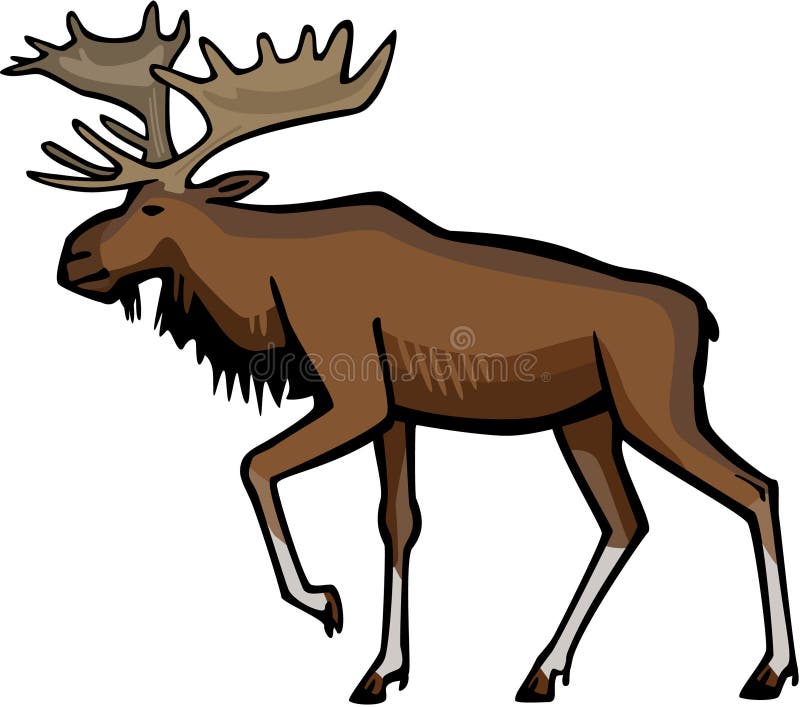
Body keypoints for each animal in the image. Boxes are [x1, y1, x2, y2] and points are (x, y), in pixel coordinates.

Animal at [3, 4, 796, 703]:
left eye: (152, 206)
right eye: (124, 198)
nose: (72, 257)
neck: (262, 289)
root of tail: (704, 316)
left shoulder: (356, 392)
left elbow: (254, 465)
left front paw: (325, 601)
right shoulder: (396, 412)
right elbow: (399, 521)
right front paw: (383, 669)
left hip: (656, 408)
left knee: (754, 486)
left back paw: (767, 670)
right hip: (587, 421)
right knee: (626, 521)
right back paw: (542, 670)